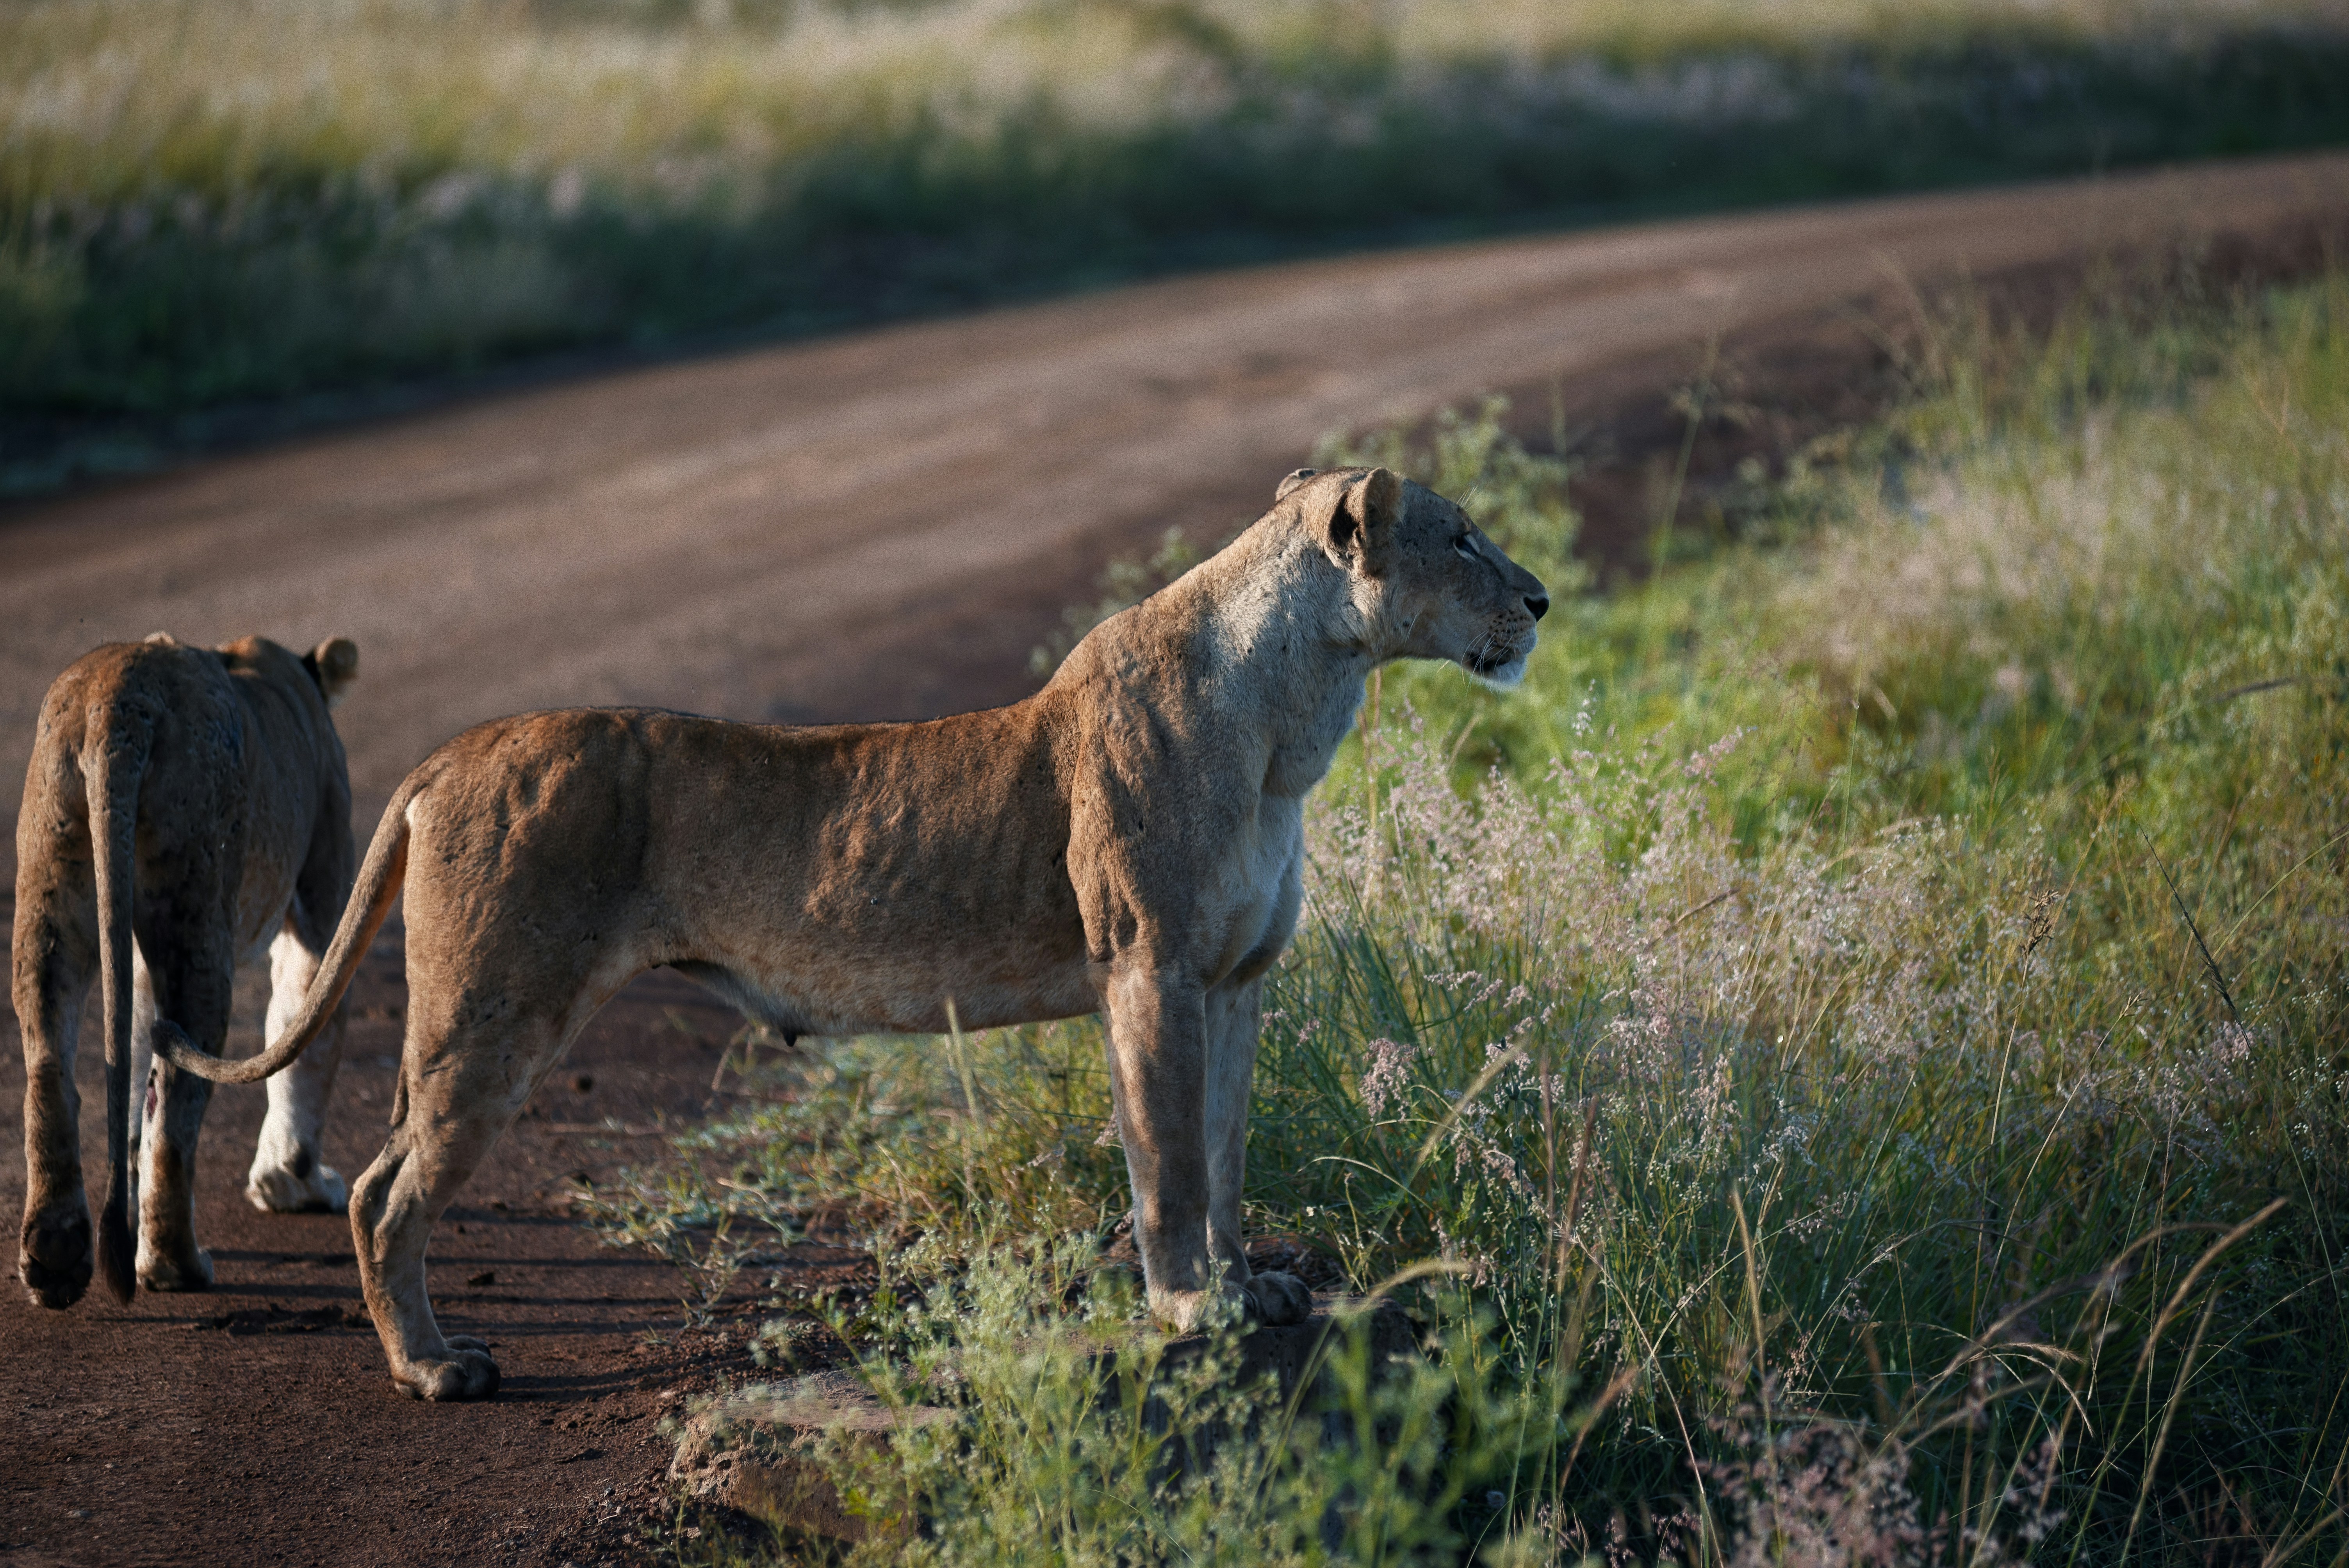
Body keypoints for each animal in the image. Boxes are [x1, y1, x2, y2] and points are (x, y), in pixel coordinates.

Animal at [16, 632, 360, 1309]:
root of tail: (116, 702)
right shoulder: (322, 900)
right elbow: (304, 1035)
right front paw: (296, 1182)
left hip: (52, 881)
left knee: (52, 1064)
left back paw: (56, 1259)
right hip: (196, 912)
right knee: (176, 1100)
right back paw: (174, 1265)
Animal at [159, 467, 1548, 1400]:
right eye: (1460, 537)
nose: (1537, 597)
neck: (1297, 706)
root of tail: (450, 751)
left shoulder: (1234, 983)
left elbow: (1225, 1151)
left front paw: (1248, 1288)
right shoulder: (1147, 969)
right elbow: (1167, 1160)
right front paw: (1187, 1308)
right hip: (491, 1015)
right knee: (385, 1189)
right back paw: (434, 1367)